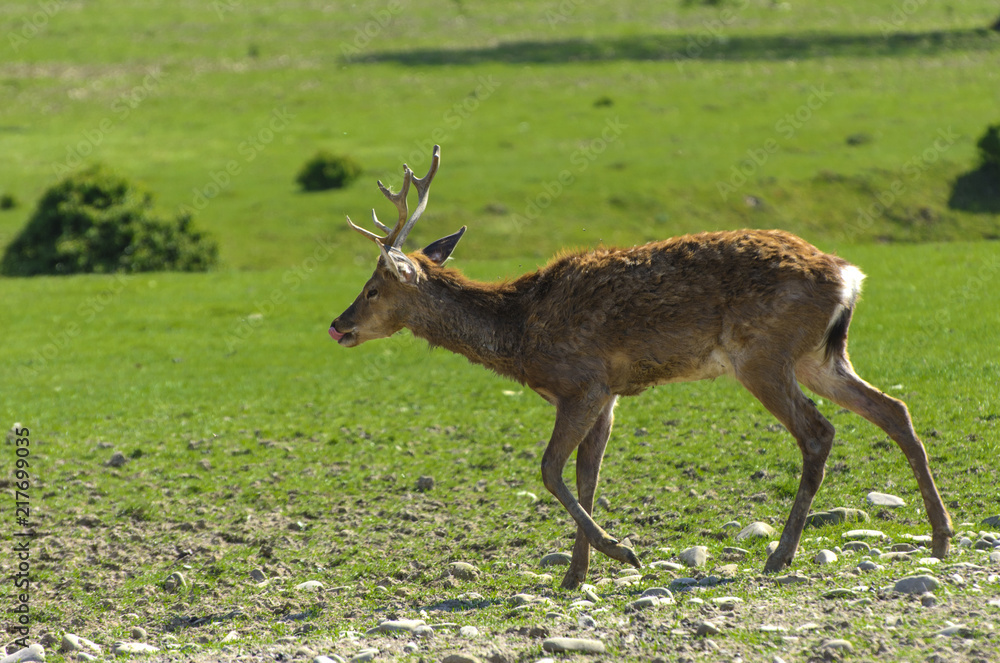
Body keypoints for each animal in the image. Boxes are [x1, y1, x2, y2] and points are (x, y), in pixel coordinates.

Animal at [328, 145, 953, 590]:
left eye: (373, 287)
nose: (337, 325)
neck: (521, 333)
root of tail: (849, 276)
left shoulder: (583, 381)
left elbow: (550, 470)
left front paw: (621, 552)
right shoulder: (606, 395)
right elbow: (588, 475)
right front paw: (574, 575)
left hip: (764, 354)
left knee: (819, 431)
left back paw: (780, 555)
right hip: (819, 354)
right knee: (893, 409)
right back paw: (940, 538)